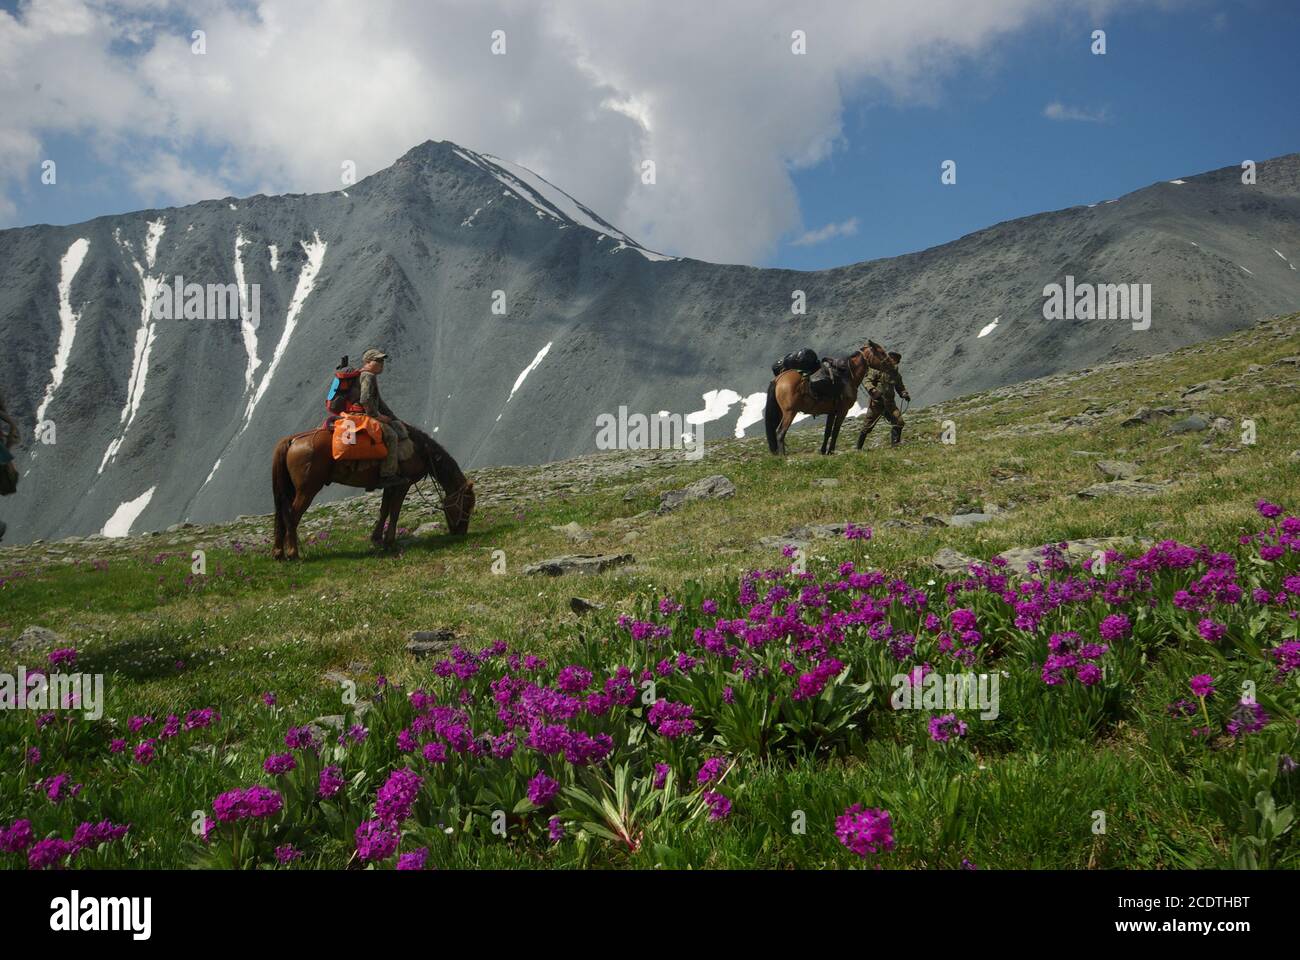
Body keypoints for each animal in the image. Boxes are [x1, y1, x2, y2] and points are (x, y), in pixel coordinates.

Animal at [270, 422, 475, 559]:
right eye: (467, 504)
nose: (461, 532)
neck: (419, 449)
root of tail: (292, 440)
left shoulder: (390, 484)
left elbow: (384, 510)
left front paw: (377, 538)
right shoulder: (403, 484)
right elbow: (395, 511)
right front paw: (389, 542)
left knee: (281, 515)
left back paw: (279, 553)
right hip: (307, 490)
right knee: (292, 516)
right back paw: (293, 553)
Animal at [764, 341, 904, 456]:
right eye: (881, 352)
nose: (892, 366)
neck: (849, 376)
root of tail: (779, 378)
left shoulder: (831, 412)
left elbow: (827, 432)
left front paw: (823, 451)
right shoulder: (842, 411)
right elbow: (836, 431)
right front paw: (831, 451)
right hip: (789, 412)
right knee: (780, 432)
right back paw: (783, 455)